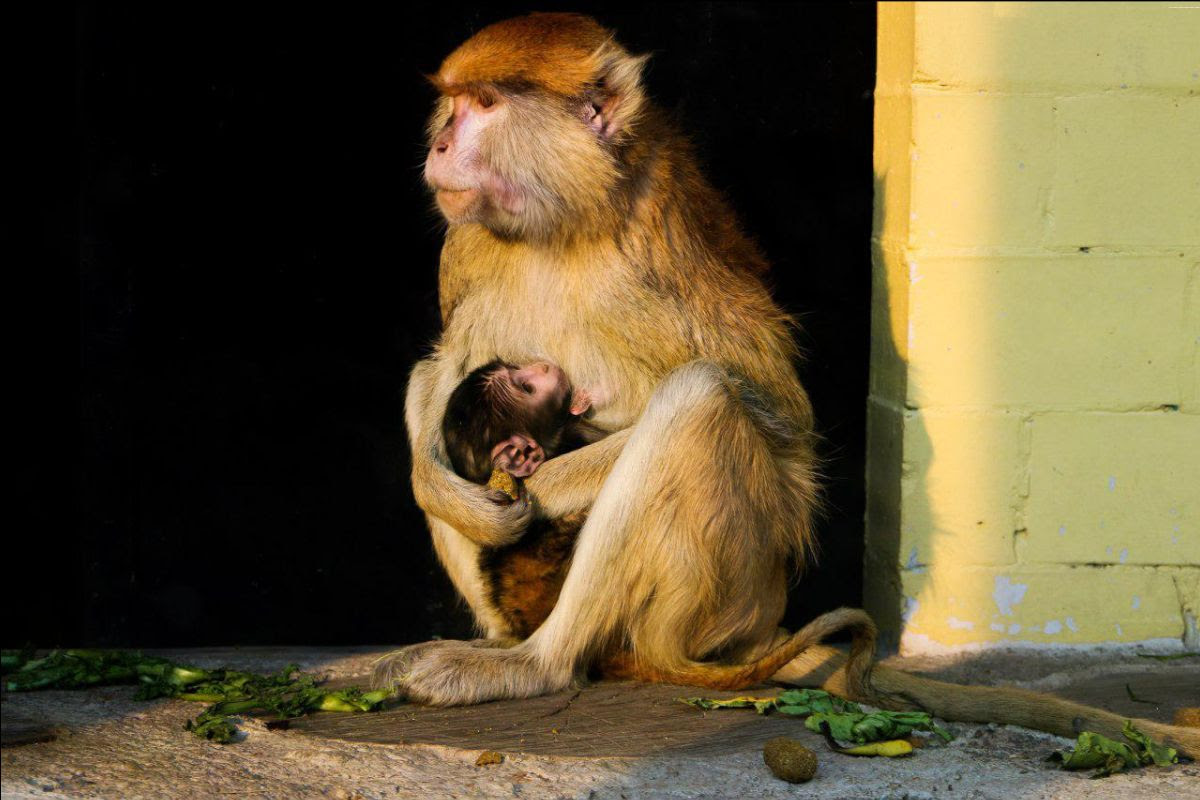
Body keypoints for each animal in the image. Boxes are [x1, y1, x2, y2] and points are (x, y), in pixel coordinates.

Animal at [375, 13, 1199, 757]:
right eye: (453, 103)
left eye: (486, 104)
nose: (440, 144)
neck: (571, 220)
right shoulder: (469, 245)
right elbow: (444, 369)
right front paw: (450, 492)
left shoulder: (656, 263)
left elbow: (777, 425)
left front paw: (532, 485)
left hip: (722, 592)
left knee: (699, 399)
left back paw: (538, 663)